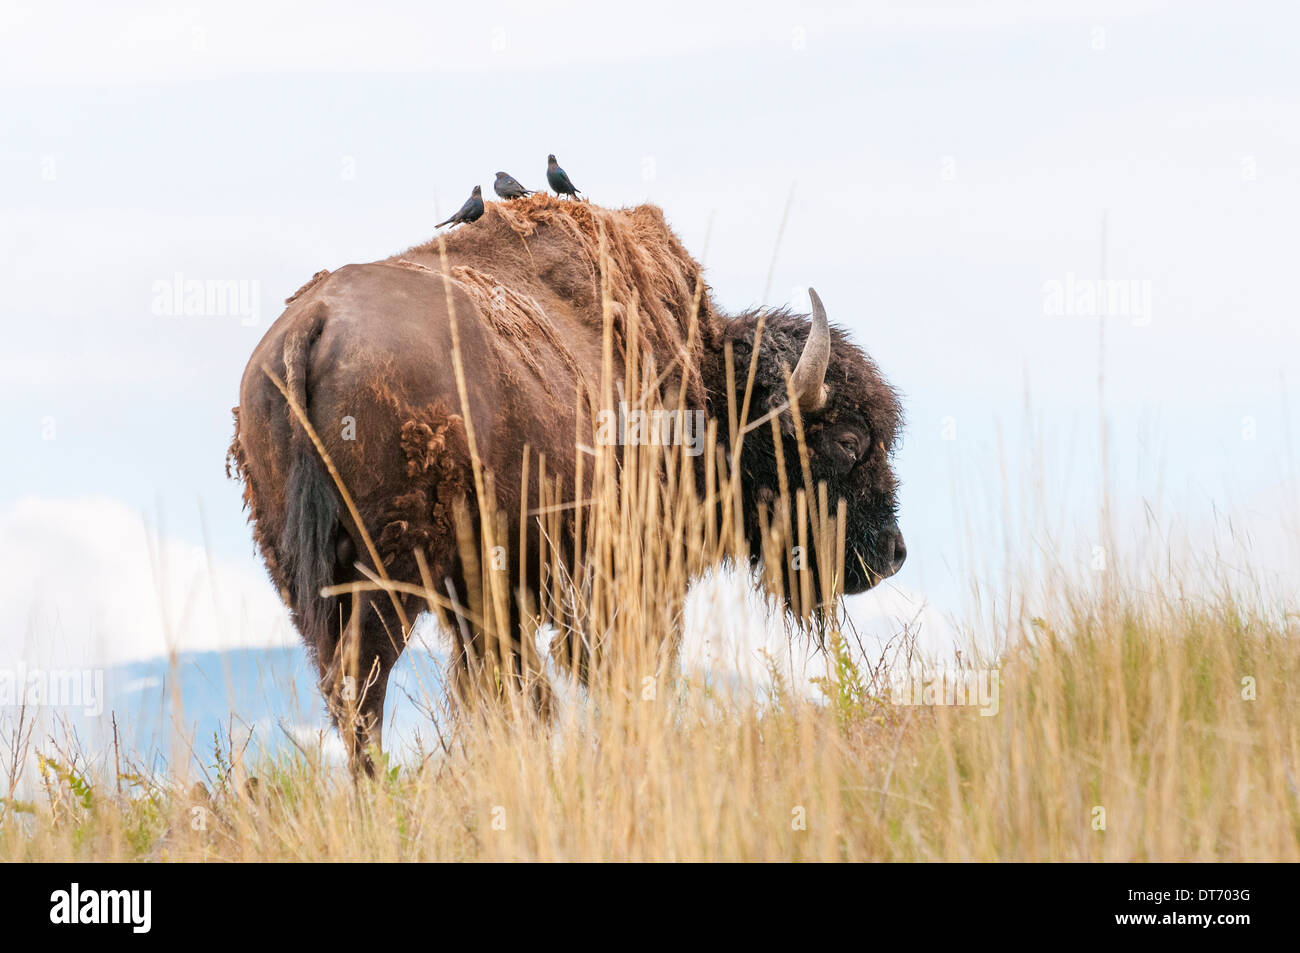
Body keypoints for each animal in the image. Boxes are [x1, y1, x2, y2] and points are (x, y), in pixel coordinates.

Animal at [229, 195, 904, 772]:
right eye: (848, 441)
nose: (892, 554)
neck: (707, 393)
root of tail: (312, 326)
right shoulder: (629, 581)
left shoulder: (493, 600)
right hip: (388, 576)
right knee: (360, 686)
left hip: (309, 578)